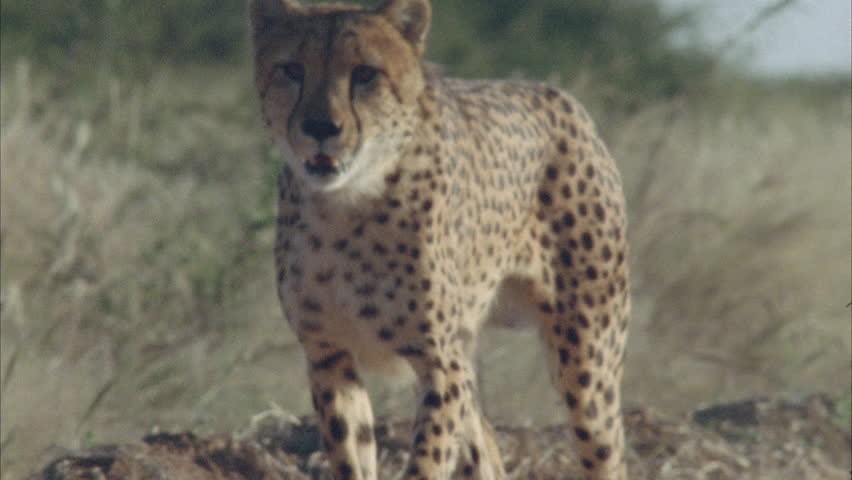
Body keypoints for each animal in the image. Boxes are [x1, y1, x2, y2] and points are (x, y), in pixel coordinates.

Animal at [249, 0, 631, 479]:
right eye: (292, 70)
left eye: (365, 74)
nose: (321, 126)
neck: (345, 203)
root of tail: (562, 98)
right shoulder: (327, 354)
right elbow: (351, 452)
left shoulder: (439, 362)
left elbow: (427, 458)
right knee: (484, 450)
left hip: (587, 360)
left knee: (605, 451)